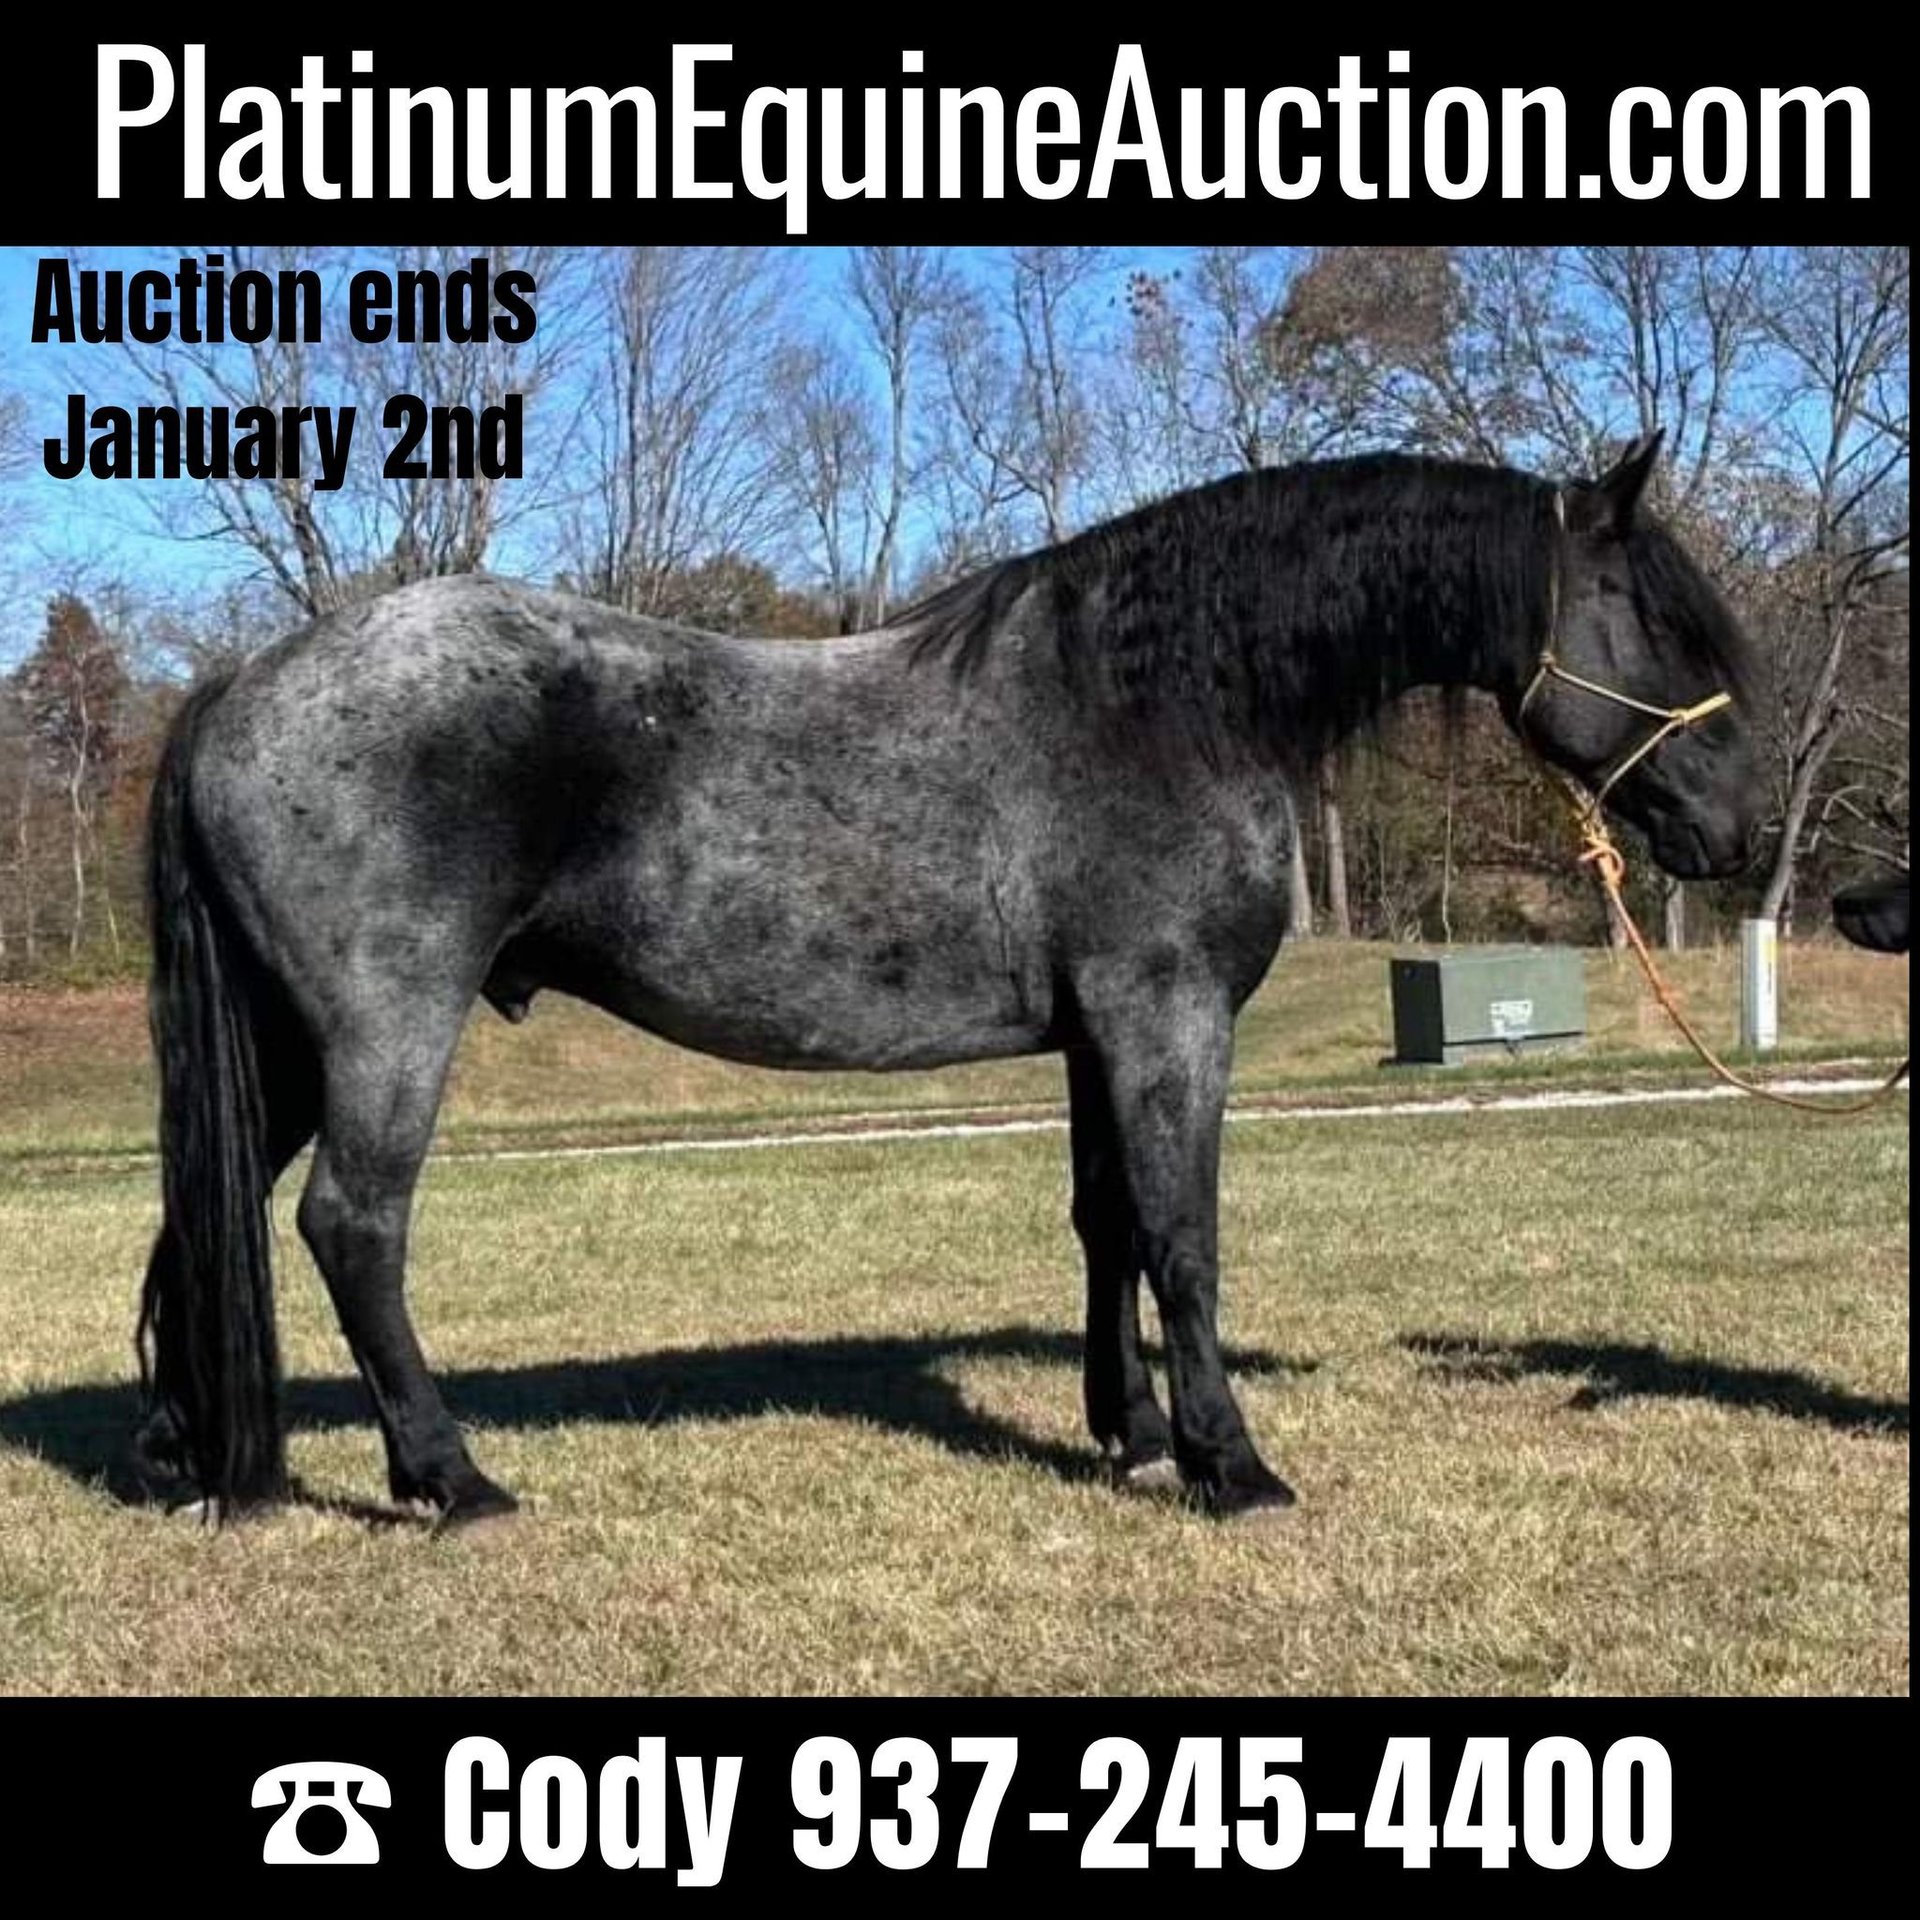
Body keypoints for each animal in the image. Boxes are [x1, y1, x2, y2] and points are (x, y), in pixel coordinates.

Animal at [134, 432, 1760, 1527]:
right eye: (1656, 617)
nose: (1735, 828)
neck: (1158, 703)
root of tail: (245, 682)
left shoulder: (1100, 1033)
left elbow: (1108, 1226)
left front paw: (1133, 1431)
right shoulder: (1167, 1018)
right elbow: (1183, 1237)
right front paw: (1228, 1461)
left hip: (286, 1051)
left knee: (202, 1224)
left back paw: (190, 1456)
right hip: (385, 1027)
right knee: (352, 1226)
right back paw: (448, 1477)